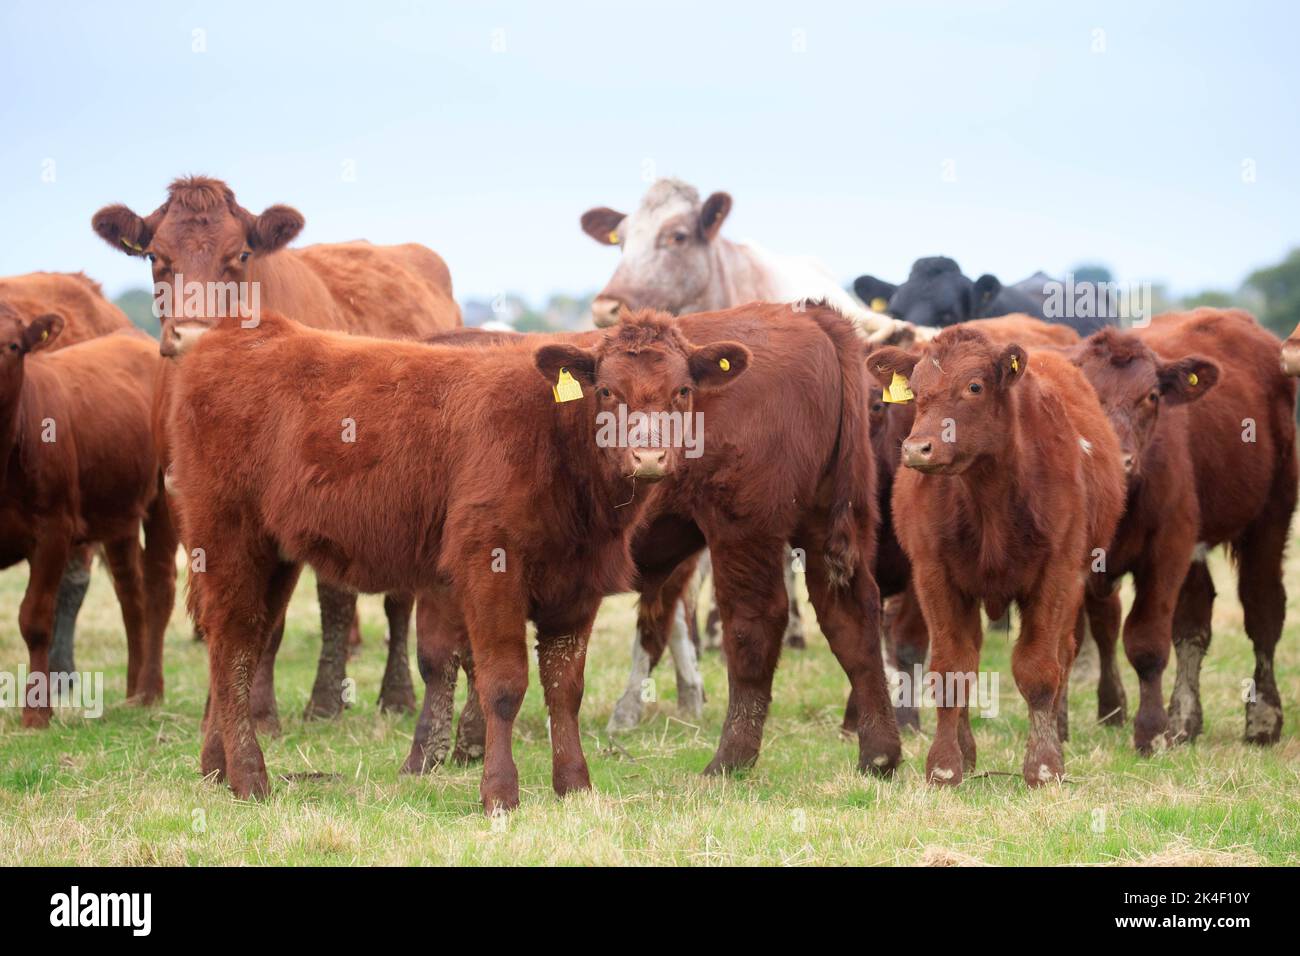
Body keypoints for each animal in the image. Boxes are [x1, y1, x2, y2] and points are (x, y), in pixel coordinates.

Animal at [91, 176, 462, 728]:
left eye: (241, 253)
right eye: (156, 255)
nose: (194, 332)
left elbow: (272, 619)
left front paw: (260, 712)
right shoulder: (188, 501)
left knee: (391, 601)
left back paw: (389, 696)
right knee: (338, 596)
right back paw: (327, 701)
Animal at [165, 308, 754, 810]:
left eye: (682, 390)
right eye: (608, 390)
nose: (649, 456)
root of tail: (234, 332)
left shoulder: (578, 584)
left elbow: (565, 687)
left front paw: (575, 784)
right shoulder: (489, 566)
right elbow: (503, 683)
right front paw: (499, 792)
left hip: (274, 553)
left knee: (242, 643)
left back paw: (217, 767)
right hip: (226, 536)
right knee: (233, 643)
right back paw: (249, 776)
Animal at [406, 303, 903, 784]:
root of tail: (808, 315)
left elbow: (441, 657)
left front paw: (427, 755)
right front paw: (463, 745)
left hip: (743, 527)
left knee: (756, 624)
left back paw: (729, 760)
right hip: (828, 524)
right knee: (852, 618)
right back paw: (880, 755)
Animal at [868, 327, 1126, 786]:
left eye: (974, 387)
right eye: (915, 389)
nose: (918, 449)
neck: (987, 494)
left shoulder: (1057, 575)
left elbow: (1039, 669)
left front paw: (1044, 765)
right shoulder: (933, 576)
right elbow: (952, 667)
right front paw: (946, 764)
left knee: (1063, 655)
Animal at [1105, 309, 1294, 745]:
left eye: (1151, 396)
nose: (1119, 461)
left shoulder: (1168, 547)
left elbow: (1145, 639)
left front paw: (1150, 732)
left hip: (1271, 519)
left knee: (1263, 610)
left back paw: (1263, 719)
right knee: (1194, 621)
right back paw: (1184, 719)